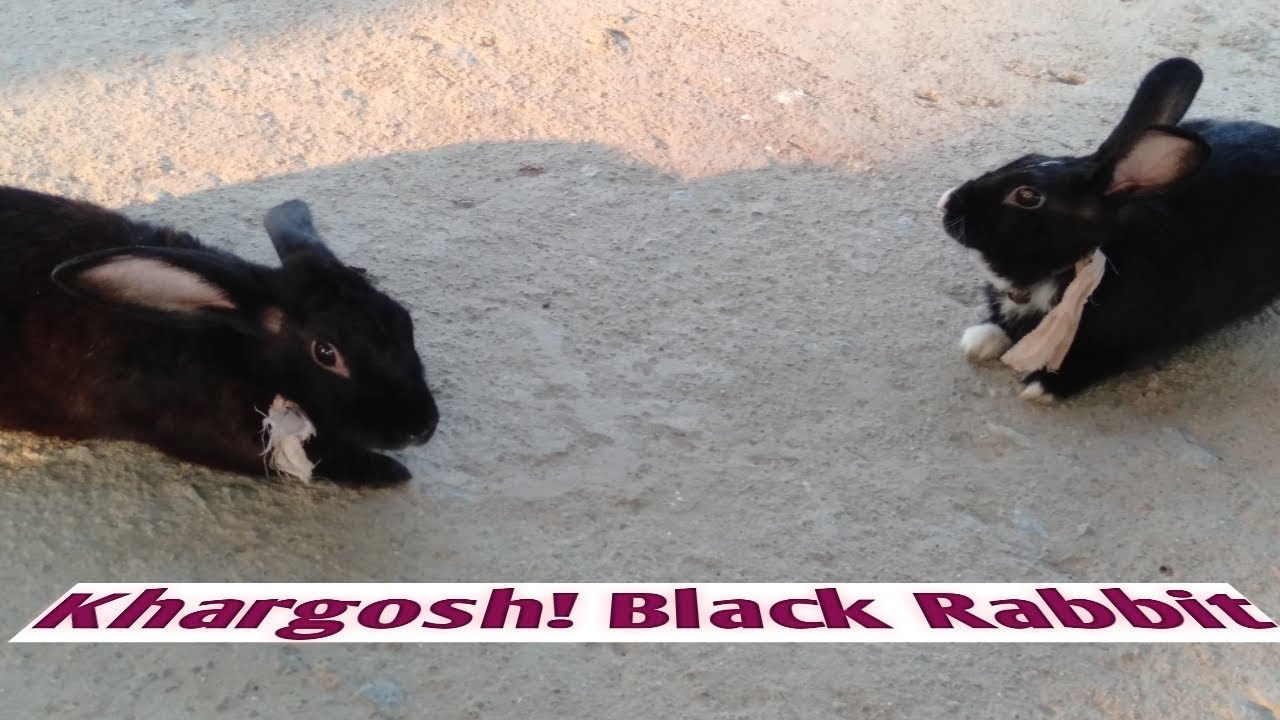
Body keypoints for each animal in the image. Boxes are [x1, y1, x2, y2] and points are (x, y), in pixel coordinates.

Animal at [939, 57, 1280, 402]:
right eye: (1024, 158)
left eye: (1027, 197)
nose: (947, 203)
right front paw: (980, 340)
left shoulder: (1137, 343)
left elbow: (1097, 362)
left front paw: (1040, 386)